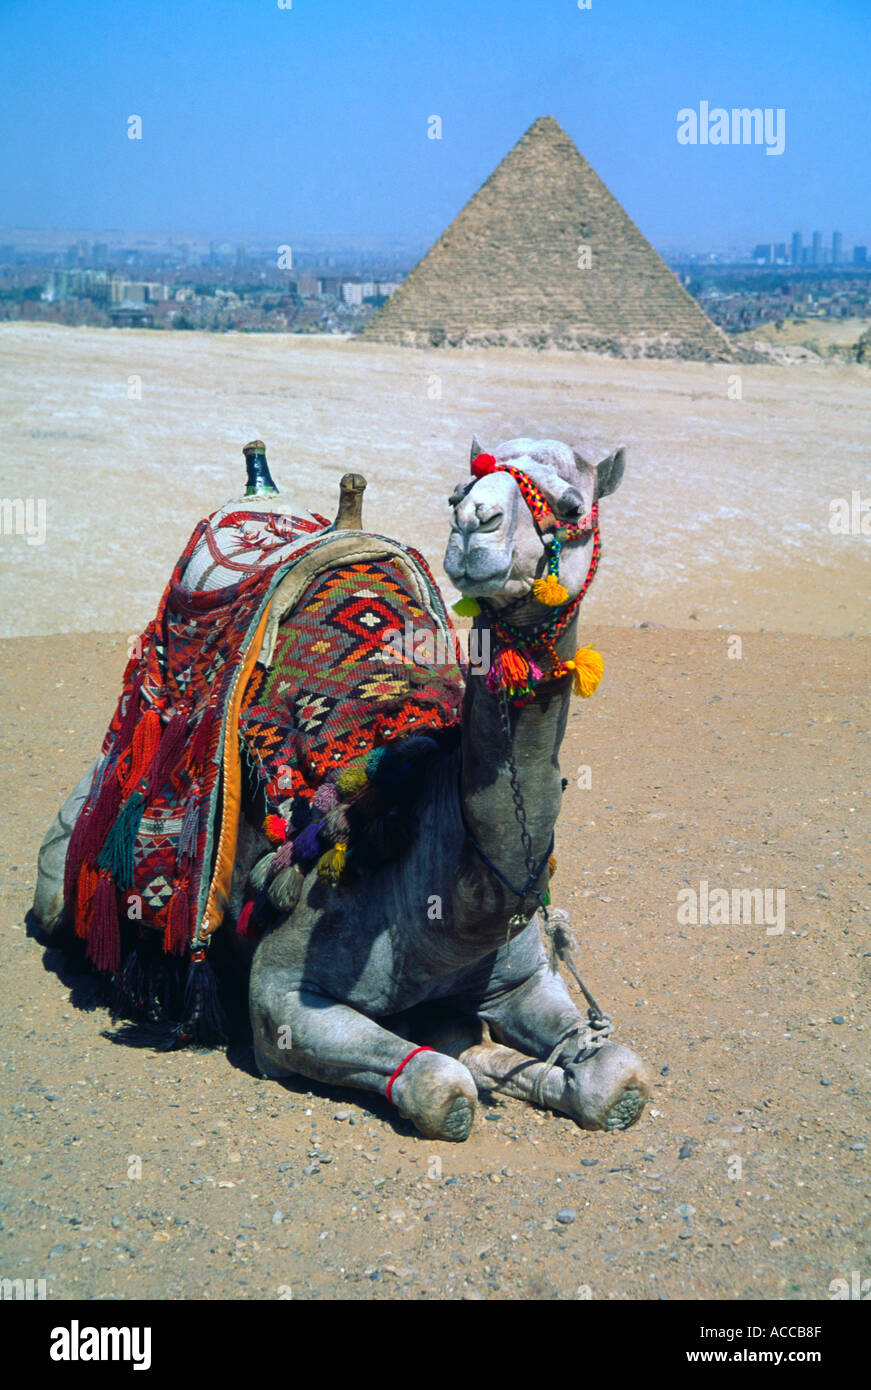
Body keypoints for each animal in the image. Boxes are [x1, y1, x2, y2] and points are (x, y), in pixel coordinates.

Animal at [32, 436, 652, 1141]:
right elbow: (441, 1083)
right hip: (74, 863)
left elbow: (617, 1075)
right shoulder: (282, 1003)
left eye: (573, 503)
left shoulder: (521, 979)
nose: (477, 523)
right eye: (456, 493)